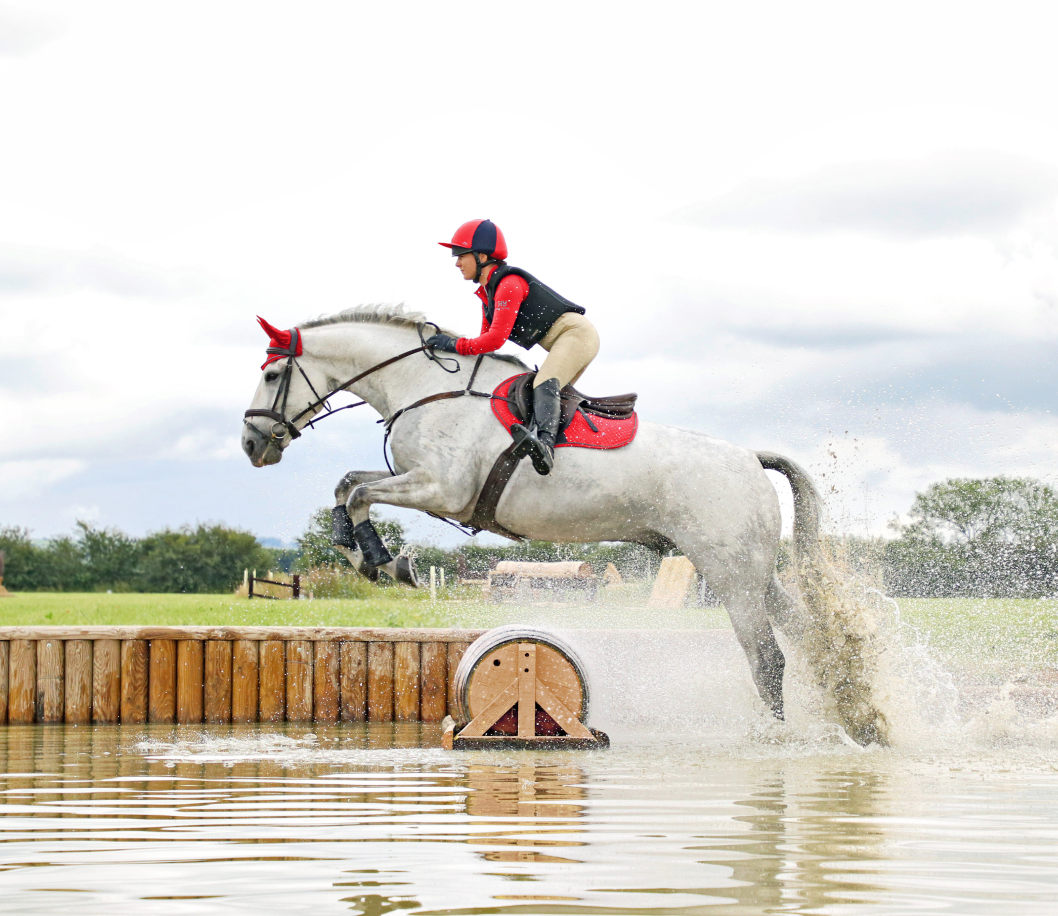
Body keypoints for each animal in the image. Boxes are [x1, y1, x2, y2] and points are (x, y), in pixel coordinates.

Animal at [240, 304, 824, 722]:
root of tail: (749, 458)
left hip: (730, 573)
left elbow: (361, 492)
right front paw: (360, 552)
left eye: (272, 375)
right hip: (751, 570)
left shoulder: (440, 488)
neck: (425, 388)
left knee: (767, 659)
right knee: (803, 633)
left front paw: (385, 562)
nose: (251, 444)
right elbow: (348, 484)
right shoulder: (414, 479)